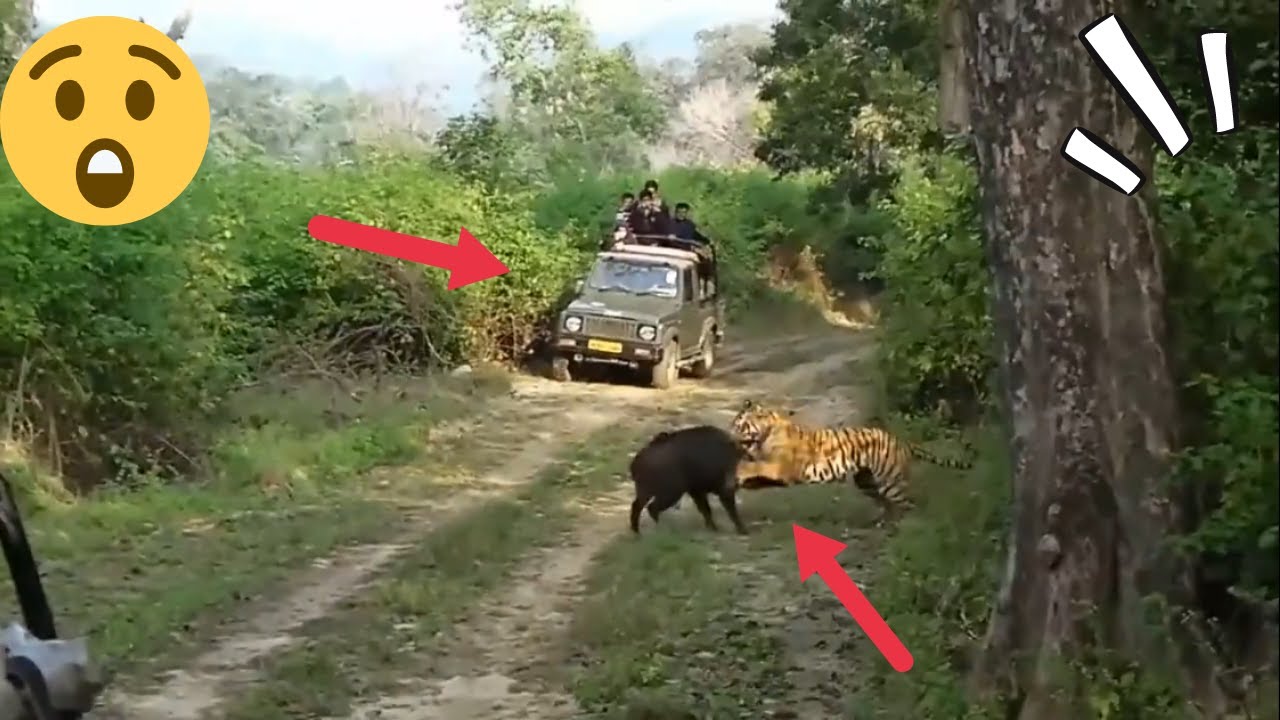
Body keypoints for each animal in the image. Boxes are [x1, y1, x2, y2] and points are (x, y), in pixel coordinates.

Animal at [727, 399, 973, 520]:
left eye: (739, 424)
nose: (728, 433)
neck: (764, 434)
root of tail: (900, 440)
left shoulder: (779, 467)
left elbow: (754, 465)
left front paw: (740, 472)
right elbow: (756, 476)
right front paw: (741, 482)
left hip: (891, 483)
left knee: (911, 503)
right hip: (867, 482)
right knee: (889, 504)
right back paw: (885, 524)